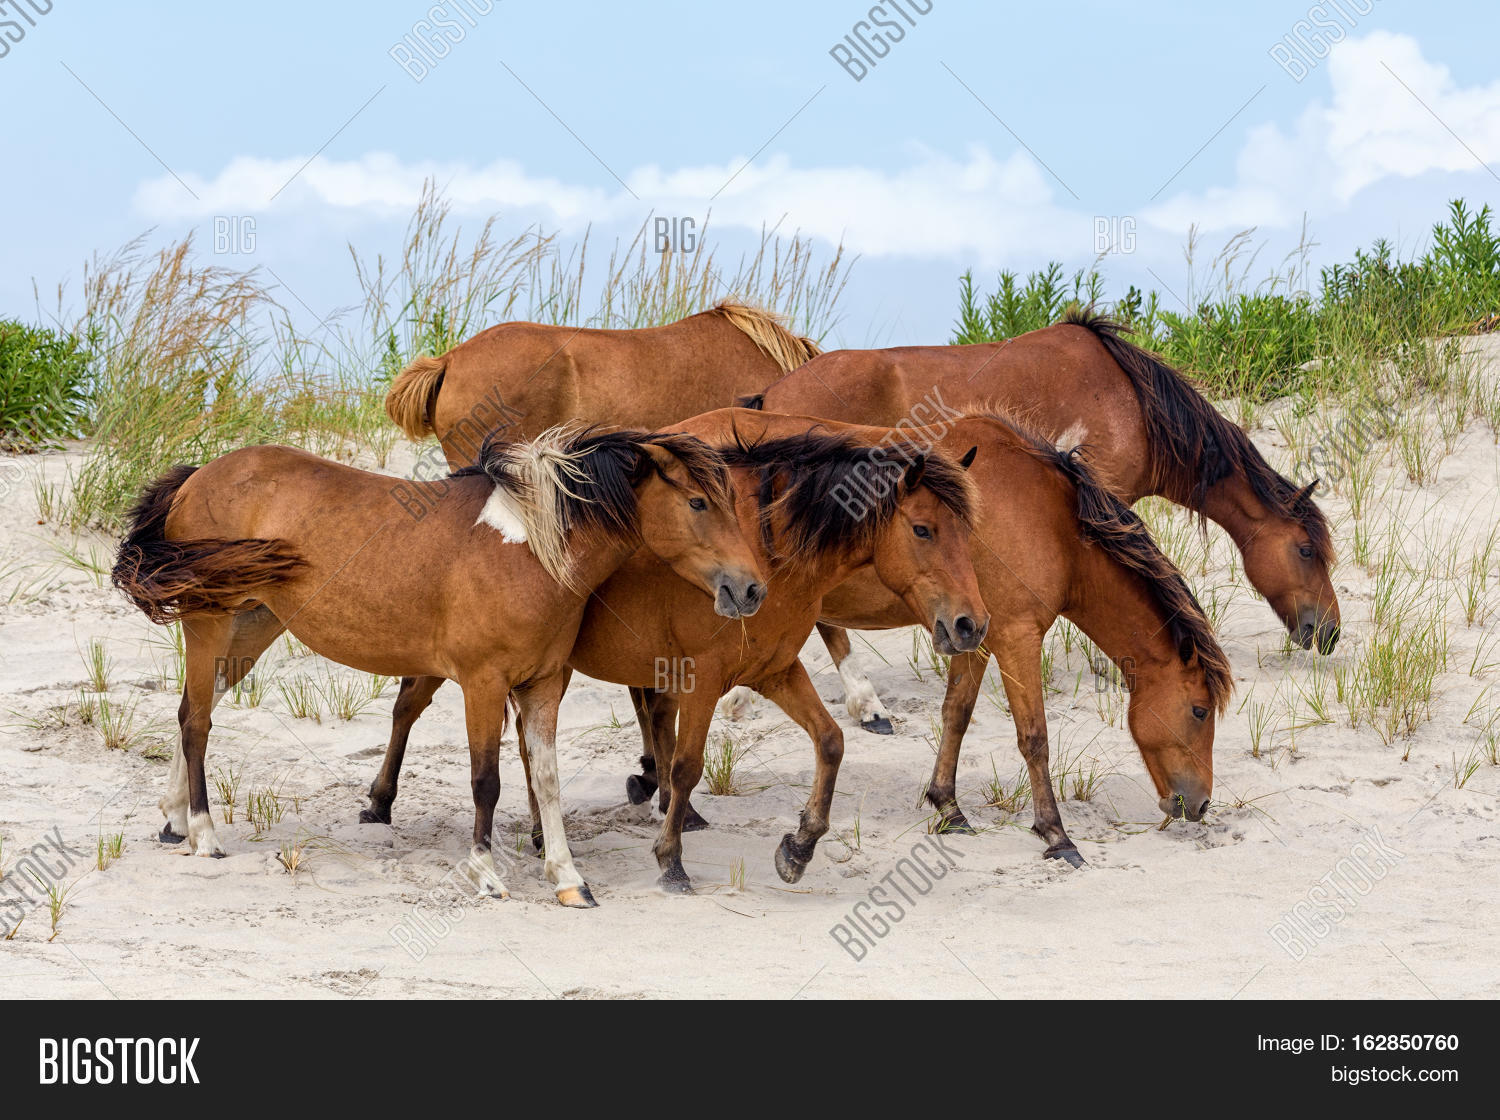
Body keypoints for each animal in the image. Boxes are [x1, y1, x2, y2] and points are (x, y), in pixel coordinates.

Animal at [110, 426, 764, 907]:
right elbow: (487, 781)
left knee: (192, 709)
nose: (750, 588)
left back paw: (173, 819)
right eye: (698, 502)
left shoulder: (544, 685)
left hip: (253, 625)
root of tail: (197, 476)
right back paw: (204, 834)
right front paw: (485, 872)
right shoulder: (483, 684)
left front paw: (568, 879)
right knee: (197, 722)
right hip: (210, 623)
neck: (529, 549)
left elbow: (546, 780)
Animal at [362, 411, 990, 893]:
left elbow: (831, 742)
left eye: (968, 533)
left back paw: (549, 833)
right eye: (923, 530)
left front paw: (799, 847)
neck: (769, 553)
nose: (970, 625)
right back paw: (380, 803)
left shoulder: (775, 671)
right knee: (409, 705)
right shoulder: (704, 678)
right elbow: (688, 765)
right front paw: (672, 860)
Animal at [628, 411, 1234, 864]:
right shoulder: (1016, 637)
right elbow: (1034, 737)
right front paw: (1056, 835)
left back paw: (659, 787)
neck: (1049, 517)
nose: (1200, 804)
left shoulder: (975, 634)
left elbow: (956, 714)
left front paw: (948, 806)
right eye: (1199, 711)